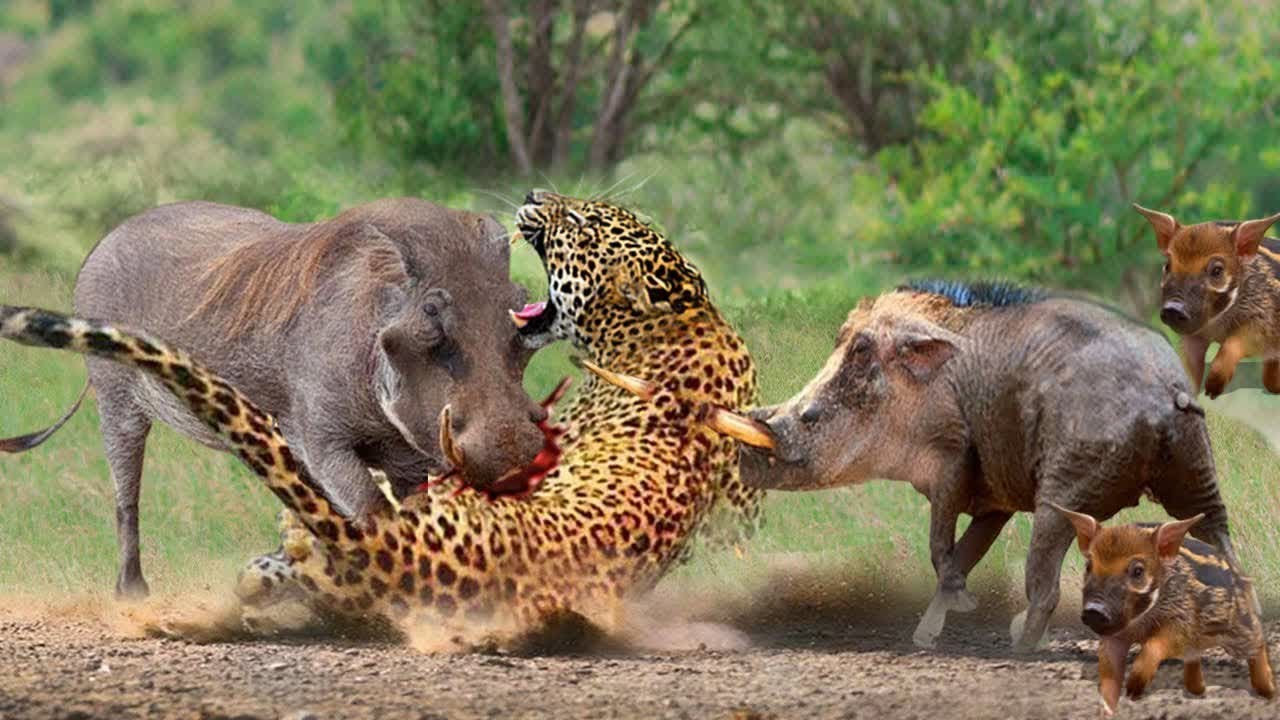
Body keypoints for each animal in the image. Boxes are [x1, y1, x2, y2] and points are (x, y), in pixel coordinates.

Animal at [0, 190, 765, 644]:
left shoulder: (416, 456)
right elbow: (366, 513)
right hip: (116, 400)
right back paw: (133, 595)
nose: (515, 460)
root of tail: (105, 240)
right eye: (430, 328)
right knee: (126, 495)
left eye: (518, 327)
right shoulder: (319, 439)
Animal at [727, 280, 1248, 651]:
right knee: (1228, 552)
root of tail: (1170, 391)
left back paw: (1021, 649)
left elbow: (941, 545)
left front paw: (957, 609)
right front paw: (926, 637)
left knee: (1045, 584)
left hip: (1063, 500)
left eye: (860, 351)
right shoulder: (994, 500)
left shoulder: (950, 462)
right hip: (1200, 485)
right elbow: (963, 552)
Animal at [1051, 504, 1274, 716]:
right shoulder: (1114, 637)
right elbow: (1108, 674)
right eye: (1088, 566)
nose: (1094, 610)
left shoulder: (1182, 622)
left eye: (1138, 571)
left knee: (1257, 642)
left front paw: (1133, 690)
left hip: (1239, 627)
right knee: (1193, 657)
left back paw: (1268, 692)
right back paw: (1197, 692)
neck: (1138, 624)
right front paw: (1109, 708)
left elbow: (1155, 645)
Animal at [1134, 204, 1280, 397]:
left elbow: (1234, 343)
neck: (1216, 324)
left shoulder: (1264, 322)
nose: (1173, 308)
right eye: (1167, 266)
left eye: (1217, 270)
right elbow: (1189, 369)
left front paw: (1212, 390)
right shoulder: (1193, 337)